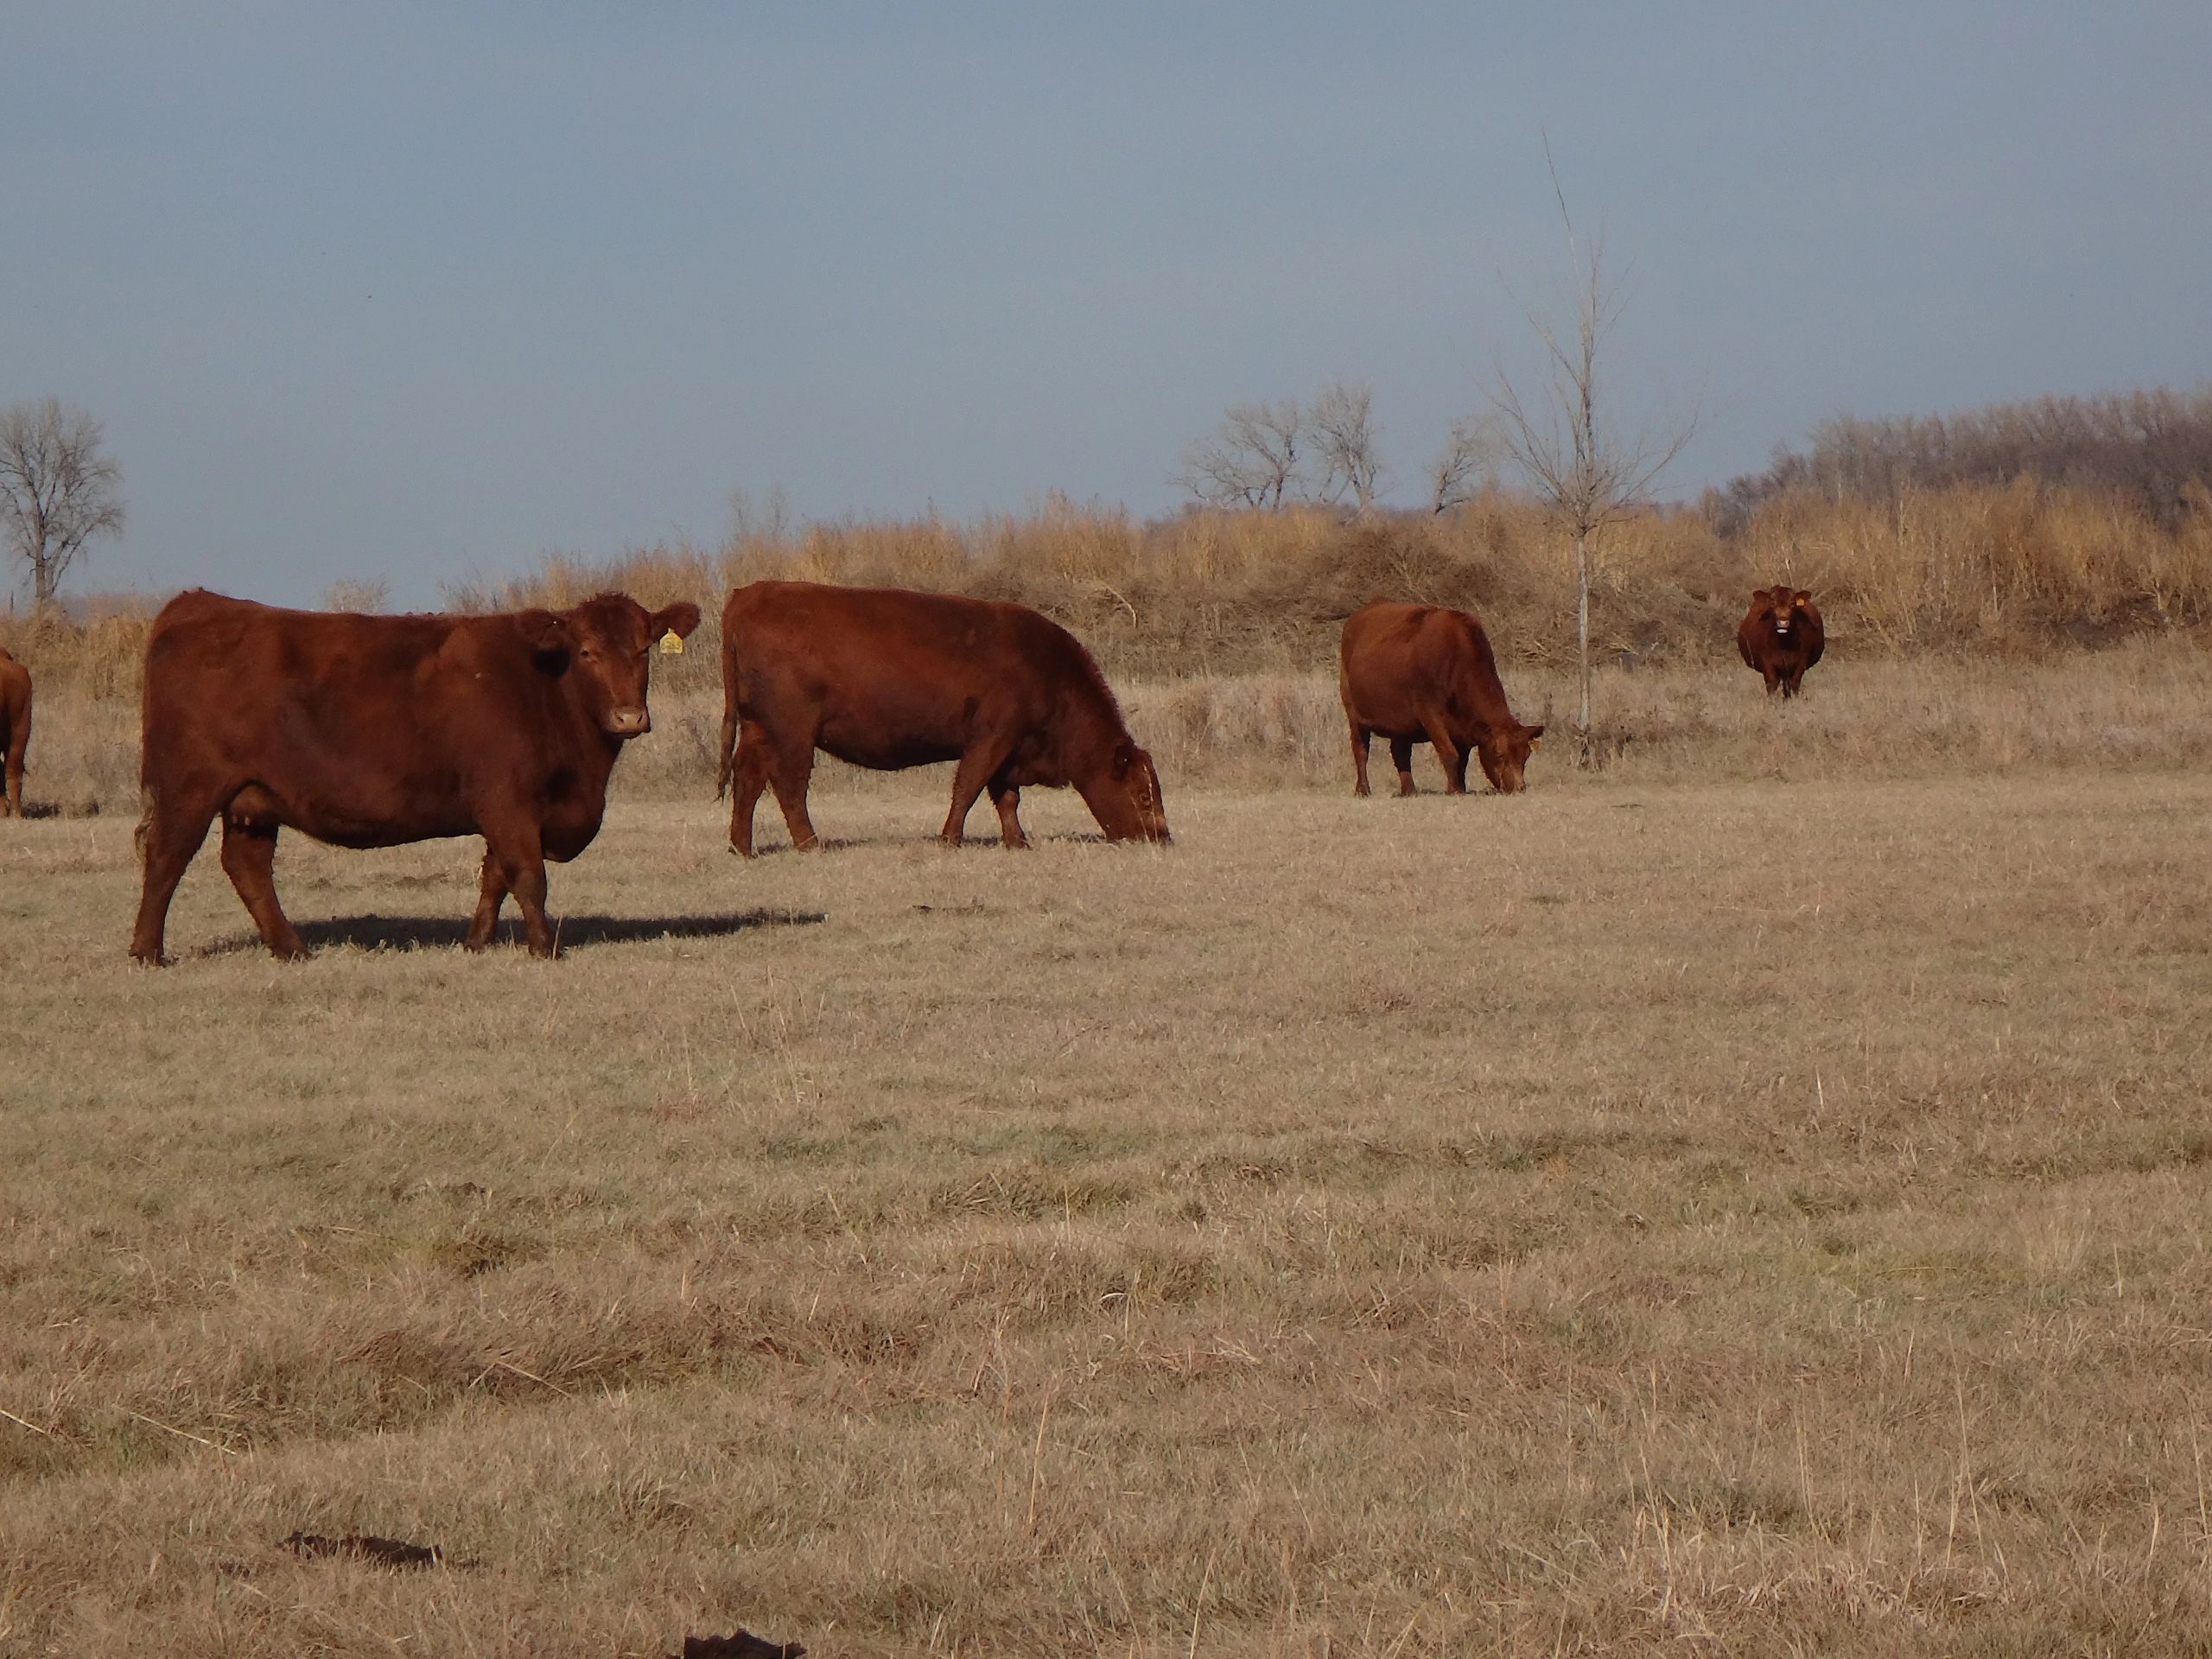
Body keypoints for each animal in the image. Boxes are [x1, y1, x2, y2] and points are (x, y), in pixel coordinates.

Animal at [130, 588, 700, 964]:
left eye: (644, 649)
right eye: (587, 652)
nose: (629, 717)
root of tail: (199, 603)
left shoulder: (504, 811)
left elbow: (494, 875)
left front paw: (475, 943)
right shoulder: (507, 801)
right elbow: (528, 876)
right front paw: (543, 948)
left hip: (252, 798)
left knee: (246, 866)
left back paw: (292, 948)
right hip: (190, 788)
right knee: (166, 858)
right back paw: (148, 951)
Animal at [715, 581, 1169, 854]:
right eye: (1145, 795)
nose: (1162, 837)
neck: (1048, 670)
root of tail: (752, 592)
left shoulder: (1009, 751)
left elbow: (1006, 798)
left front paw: (1017, 842)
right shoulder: (992, 737)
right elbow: (968, 788)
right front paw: (950, 839)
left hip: (758, 729)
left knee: (748, 779)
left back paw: (742, 847)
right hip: (793, 733)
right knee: (789, 785)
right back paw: (810, 843)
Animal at [1338, 600, 1544, 797]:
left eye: (1526, 755)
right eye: (1500, 754)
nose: (1519, 787)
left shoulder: (1463, 728)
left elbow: (1462, 760)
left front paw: (1460, 788)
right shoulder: (1430, 715)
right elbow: (1450, 753)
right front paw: (1453, 790)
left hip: (1400, 722)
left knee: (1400, 751)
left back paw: (1409, 791)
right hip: (1353, 712)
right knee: (1361, 750)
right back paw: (1363, 790)